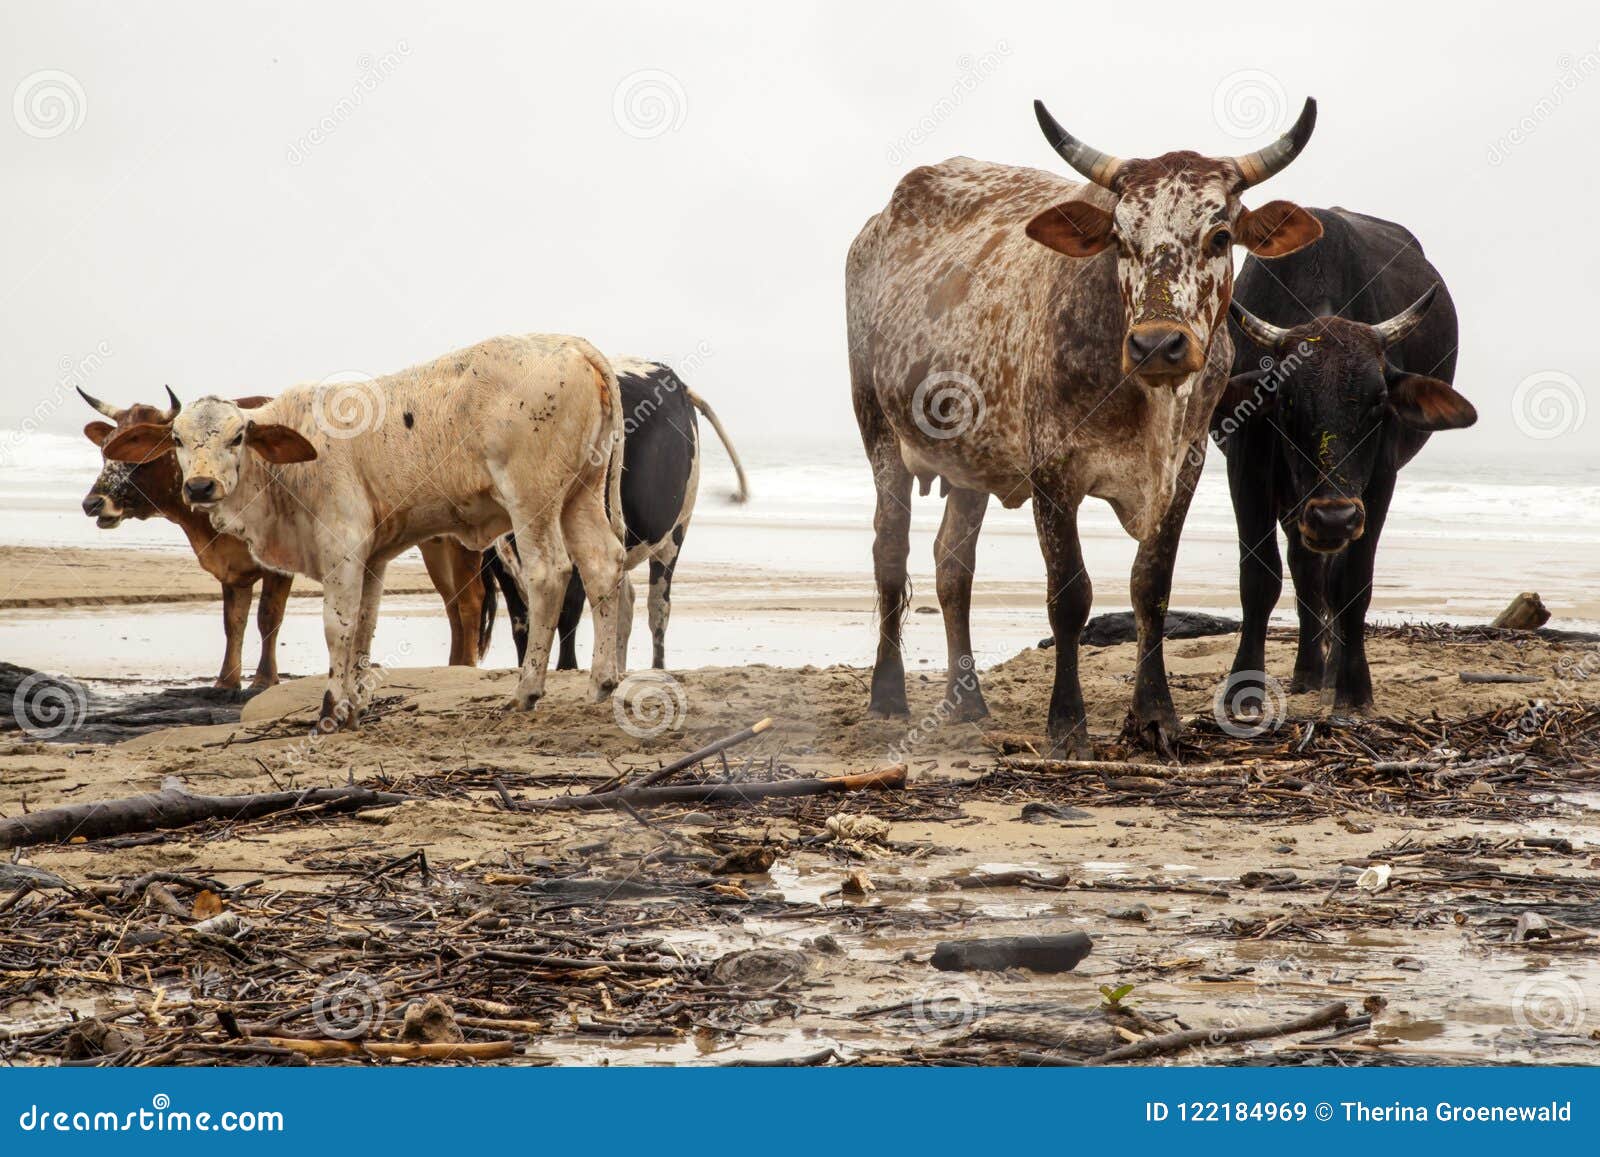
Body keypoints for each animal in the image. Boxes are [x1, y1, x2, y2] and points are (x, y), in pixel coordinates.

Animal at [80, 390, 505, 688]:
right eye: (105, 452)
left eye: (143, 457)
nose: (92, 503)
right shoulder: (232, 568)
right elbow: (233, 621)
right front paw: (225, 681)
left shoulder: (277, 564)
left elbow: (268, 616)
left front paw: (263, 679)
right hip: (434, 545)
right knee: (452, 605)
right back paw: (451, 667)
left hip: (462, 545)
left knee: (470, 601)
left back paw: (464, 669)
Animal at [493, 360, 748, 672]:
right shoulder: (497, 560)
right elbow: (521, 623)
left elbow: (569, 613)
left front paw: (567, 668)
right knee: (623, 603)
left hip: (676, 529)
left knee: (658, 606)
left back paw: (656, 668)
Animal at [847, 99, 1323, 757]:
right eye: (1120, 239)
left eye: (1220, 235)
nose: (1158, 344)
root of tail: (878, 223)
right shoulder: (1053, 472)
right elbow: (1070, 596)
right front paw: (1067, 724)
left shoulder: (1187, 467)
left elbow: (1151, 586)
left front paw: (1155, 717)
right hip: (878, 428)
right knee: (891, 552)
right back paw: (888, 696)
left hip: (969, 463)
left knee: (953, 566)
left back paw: (967, 703)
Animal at [1215, 207, 1475, 712]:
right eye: (1287, 402)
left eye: (1377, 403)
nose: (1334, 518)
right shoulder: (1248, 466)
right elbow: (1260, 577)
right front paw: (1245, 685)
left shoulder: (1378, 480)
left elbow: (1352, 581)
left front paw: (1354, 686)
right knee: (1304, 566)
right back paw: (1307, 671)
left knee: (1327, 576)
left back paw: (1329, 669)